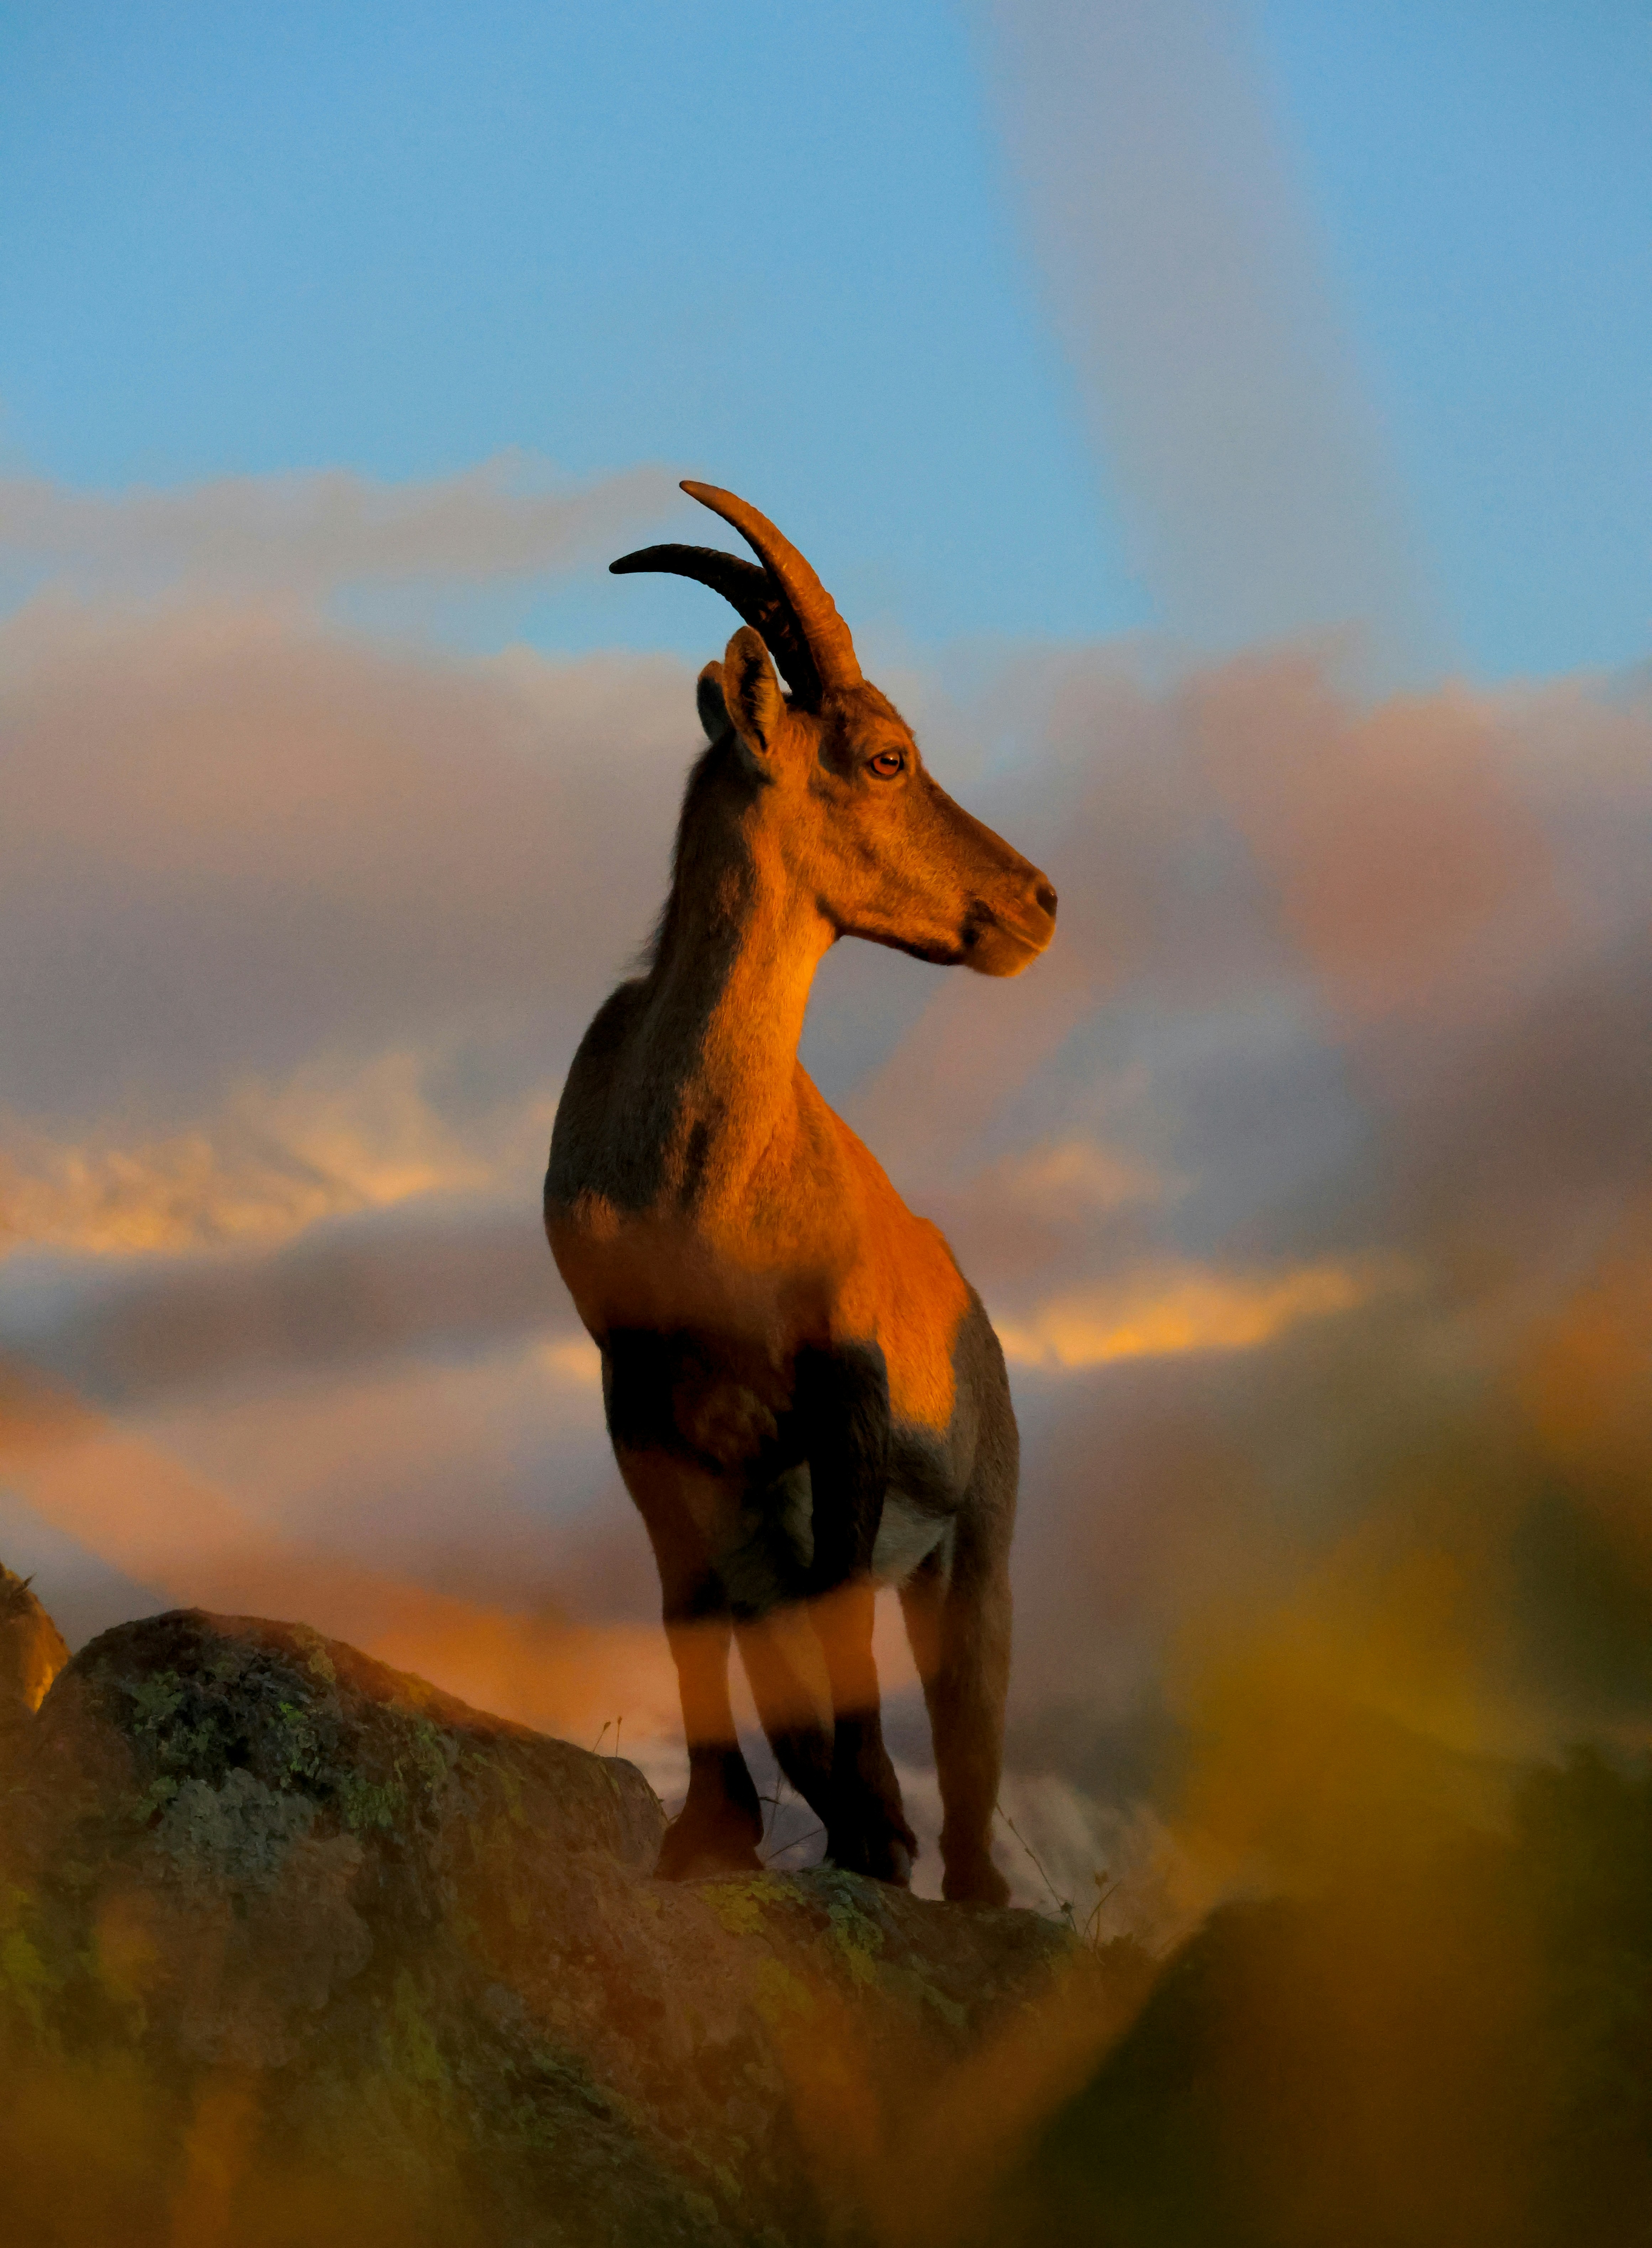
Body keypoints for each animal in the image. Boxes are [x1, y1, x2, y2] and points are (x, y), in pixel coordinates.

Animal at [545, 484, 1056, 1902]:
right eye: (883, 756)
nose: (1035, 899)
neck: (697, 1190)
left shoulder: (848, 1380)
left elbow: (841, 1615)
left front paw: (868, 1825)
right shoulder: (638, 1390)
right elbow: (684, 1612)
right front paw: (710, 1830)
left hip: (978, 1538)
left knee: (969, 1714)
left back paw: (957, 1879)